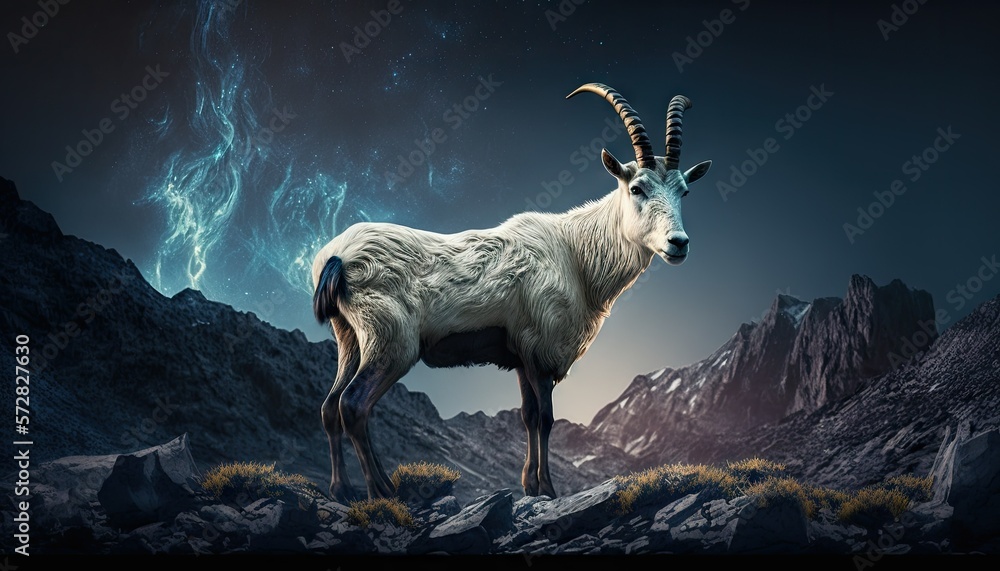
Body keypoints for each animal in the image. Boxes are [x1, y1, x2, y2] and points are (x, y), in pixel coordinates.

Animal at [312, 83, 712, 501]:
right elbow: (547, 418)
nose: (678, 243)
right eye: (637, 187)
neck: (575, 253)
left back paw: (342, 489)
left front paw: (529, 485)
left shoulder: (522, 356)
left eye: (684, 190)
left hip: (349, 337)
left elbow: (529, 416)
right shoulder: (543, 352)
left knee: (329, 406)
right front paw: (548, 488)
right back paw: (381, 490)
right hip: (390, 341)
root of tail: (336, 257)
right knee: (353, 404)